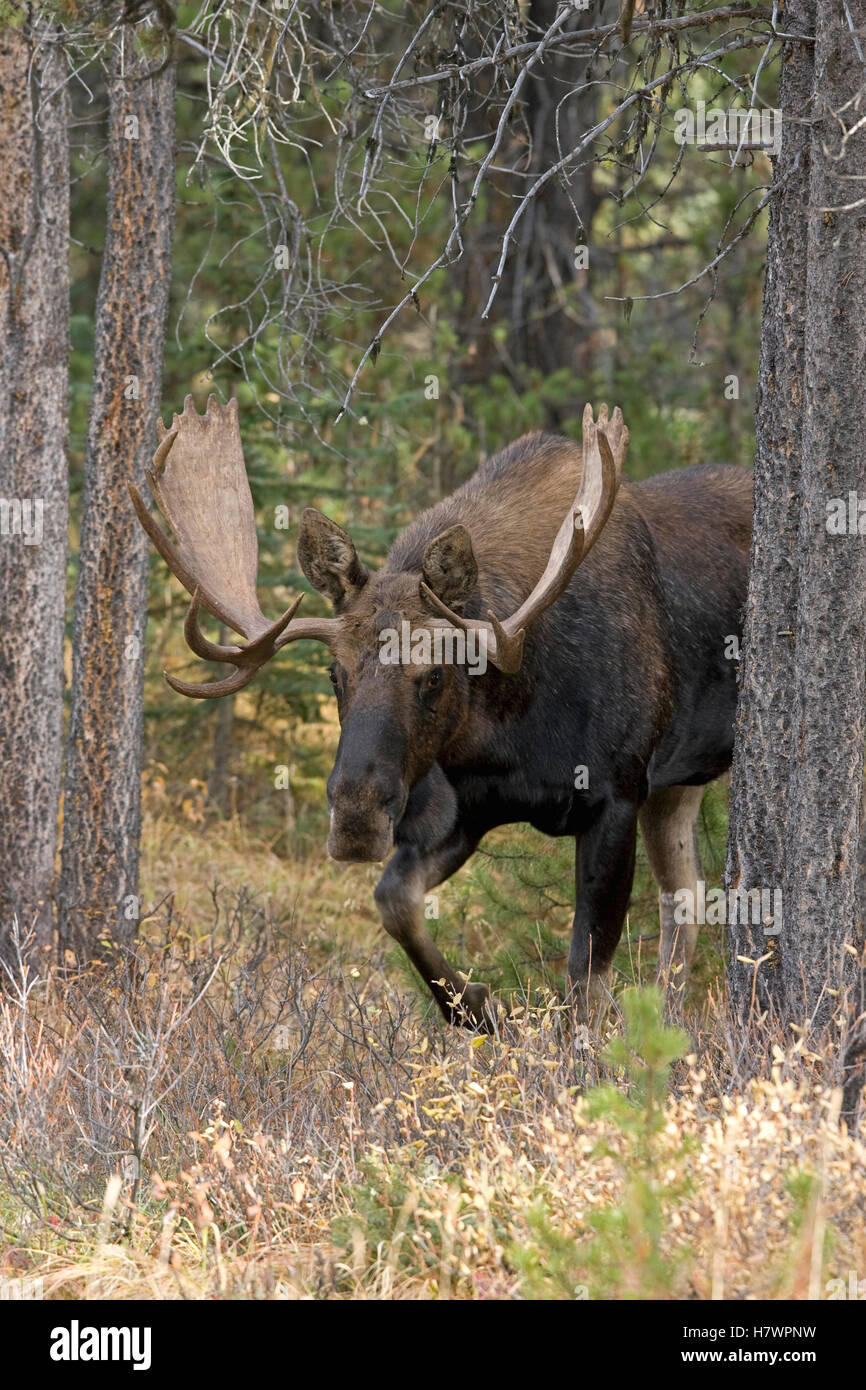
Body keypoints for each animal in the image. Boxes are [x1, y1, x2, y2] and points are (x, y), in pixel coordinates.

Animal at [130, 396, 752, 1030]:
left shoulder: (617, 795)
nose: (355, 819)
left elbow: (586, 978)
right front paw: (474, 1004)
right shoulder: (465, 804)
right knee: (688, 898)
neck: (513, 726)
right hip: (675, 783)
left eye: (433, 674)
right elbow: (395, 899)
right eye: (334, 673)